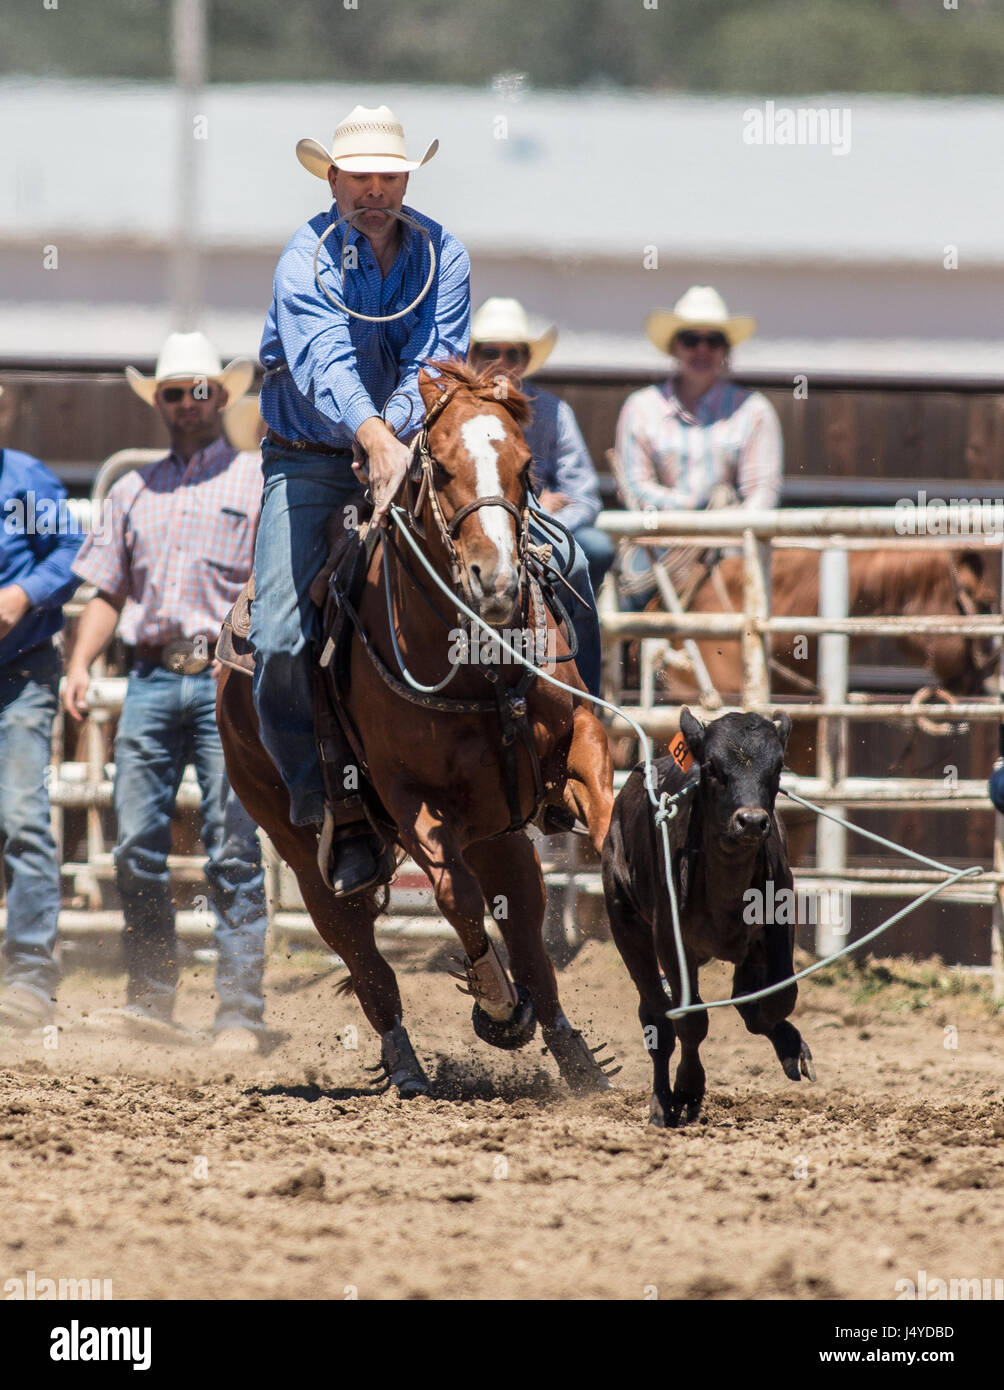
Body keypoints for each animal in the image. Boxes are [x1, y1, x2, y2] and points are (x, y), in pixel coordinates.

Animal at [601, 706, 816, 1128]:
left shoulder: (779, 922)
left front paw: (789, 1044)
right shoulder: (669, 940)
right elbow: (689, 1020)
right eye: (713, 768)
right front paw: (688, 1088)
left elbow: (777, 998)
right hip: (626, 927)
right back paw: (660, 1104)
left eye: (777, 768)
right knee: (657, 1018)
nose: (751, 821)